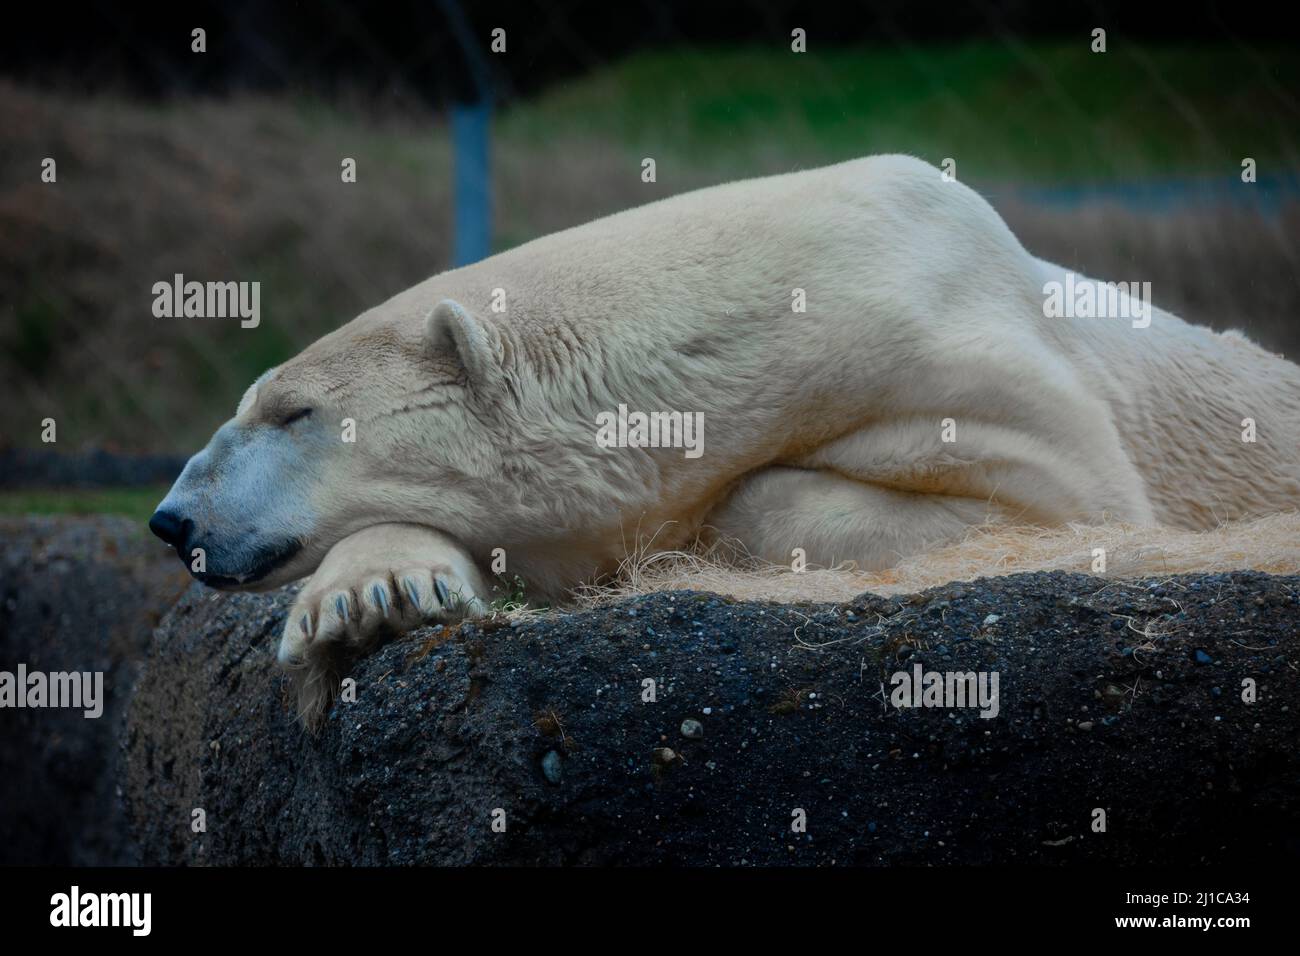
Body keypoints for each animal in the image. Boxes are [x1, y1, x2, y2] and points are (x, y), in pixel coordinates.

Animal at [150, 154, 1300, 723]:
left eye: (291, 413)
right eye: (264, 402)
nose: (172, 518)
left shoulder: (961, 355)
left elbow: (1071, 501)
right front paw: (371, 595)